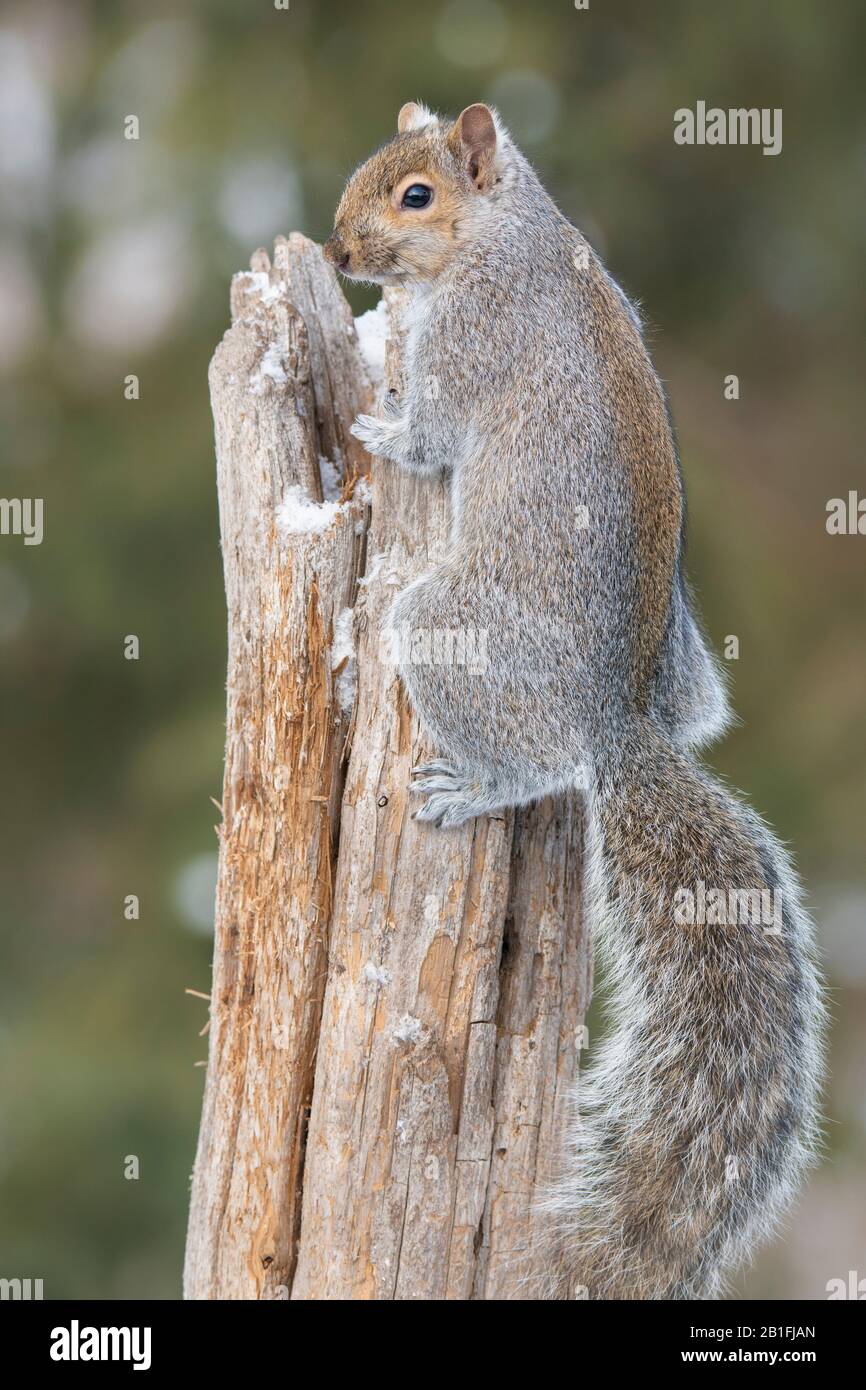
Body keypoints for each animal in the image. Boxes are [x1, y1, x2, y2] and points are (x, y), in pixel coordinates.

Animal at [324, 102, 825, 1300]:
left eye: (415, 196)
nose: (337, 252)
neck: (505, 236)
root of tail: (615, 726)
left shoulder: (472, 342)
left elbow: (430, 436)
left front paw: (378, 426)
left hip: (445, 631)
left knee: (530, 767)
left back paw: (467, 787)